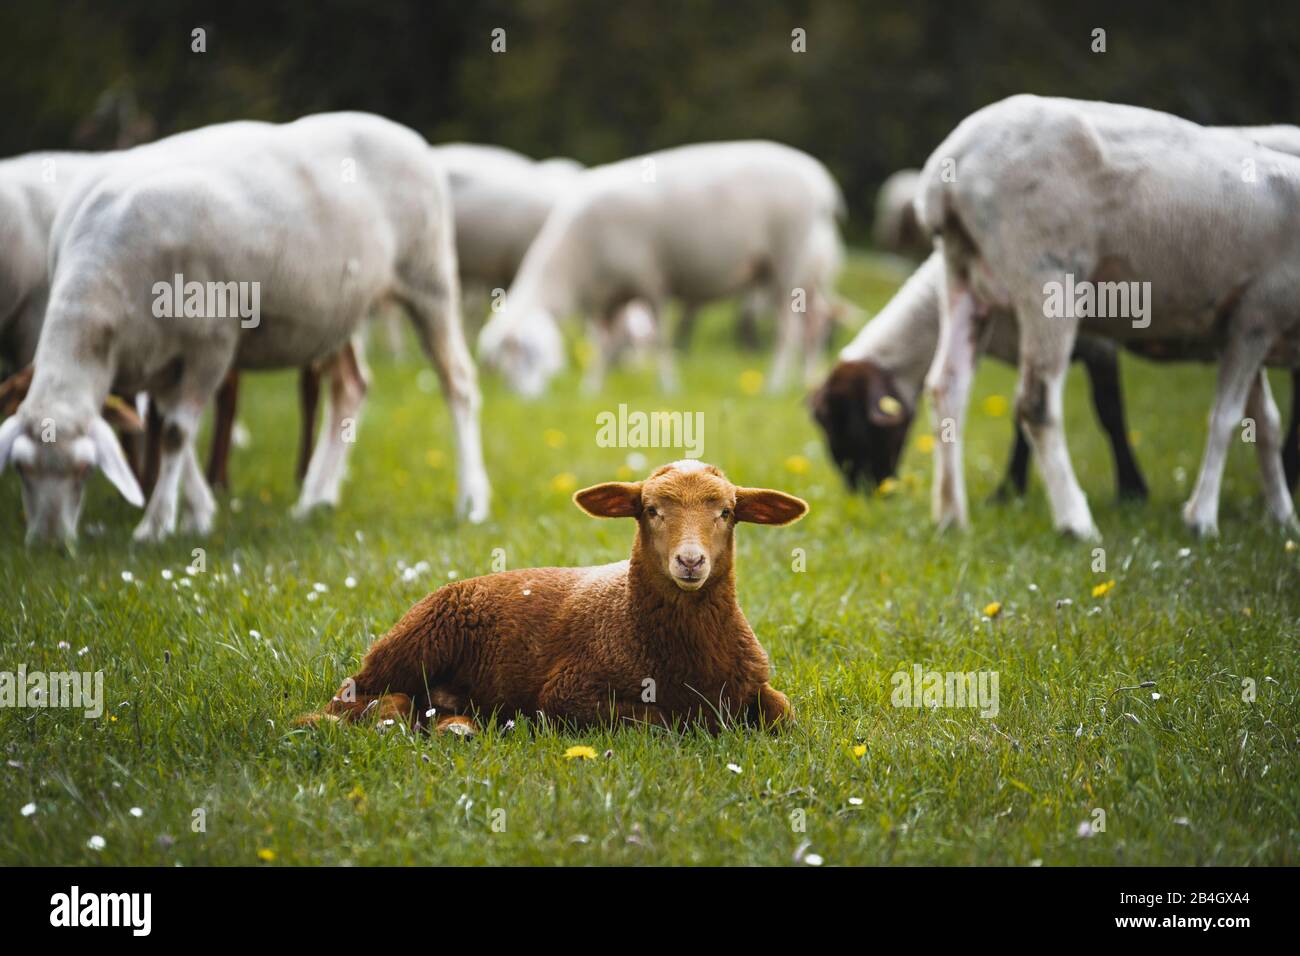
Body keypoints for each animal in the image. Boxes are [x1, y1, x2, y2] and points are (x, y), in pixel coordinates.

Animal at [0, 112, 490, 544]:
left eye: (85, 470)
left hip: (429, 281)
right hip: (339, 312)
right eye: (21, 469)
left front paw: (155, 527)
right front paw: (197, 513)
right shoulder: (156, 357)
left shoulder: (212, 343)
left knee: (459, 384)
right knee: (350, 388)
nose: (48, 544)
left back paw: (471, 500)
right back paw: (315, 499)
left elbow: (176, 432)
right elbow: (167, 428)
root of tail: (405, 134)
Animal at [300, 460, 806, 735]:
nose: (690, 561)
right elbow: (660, 720)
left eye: (727, 512)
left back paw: (457, 728)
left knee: (426, 704)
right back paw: (330, 722)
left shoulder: (754, 685)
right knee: (355, 693)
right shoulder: (569, 695)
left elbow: (783, 712)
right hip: (414, 641)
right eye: (650, 510)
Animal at [477, 140, 845, 397]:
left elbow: (658, 339)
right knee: (815, 324)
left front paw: (668, 387)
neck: (572, 263)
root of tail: (821, 182)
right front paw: (592, 389)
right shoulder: (609, 297)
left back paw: (775, 385)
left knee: (789, 331)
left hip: (788, 264)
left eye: (522, 354)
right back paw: (810, 380)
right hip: (808, 274)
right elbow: (604, 344)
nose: (525, 401)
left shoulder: (651, 282)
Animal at [812, 251, 1147, 501]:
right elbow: (1023, 419)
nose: (865, 492)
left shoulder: (1099, 345)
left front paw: (1132, 491)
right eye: (827, 434)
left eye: (858, 431)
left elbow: (1110, 413)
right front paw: (1009, 492)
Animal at [918, 95, 1300, 539]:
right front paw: (1202, 519)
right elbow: (1227, 418)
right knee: (1035, 404)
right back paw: (1075, 522)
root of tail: (952, 161)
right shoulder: (1257, 314)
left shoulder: (1235, 326)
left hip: (963, 273)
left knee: (947, 387)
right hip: (1047, 273)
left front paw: (1283, 518)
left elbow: (1266, 423)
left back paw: (951, 518)